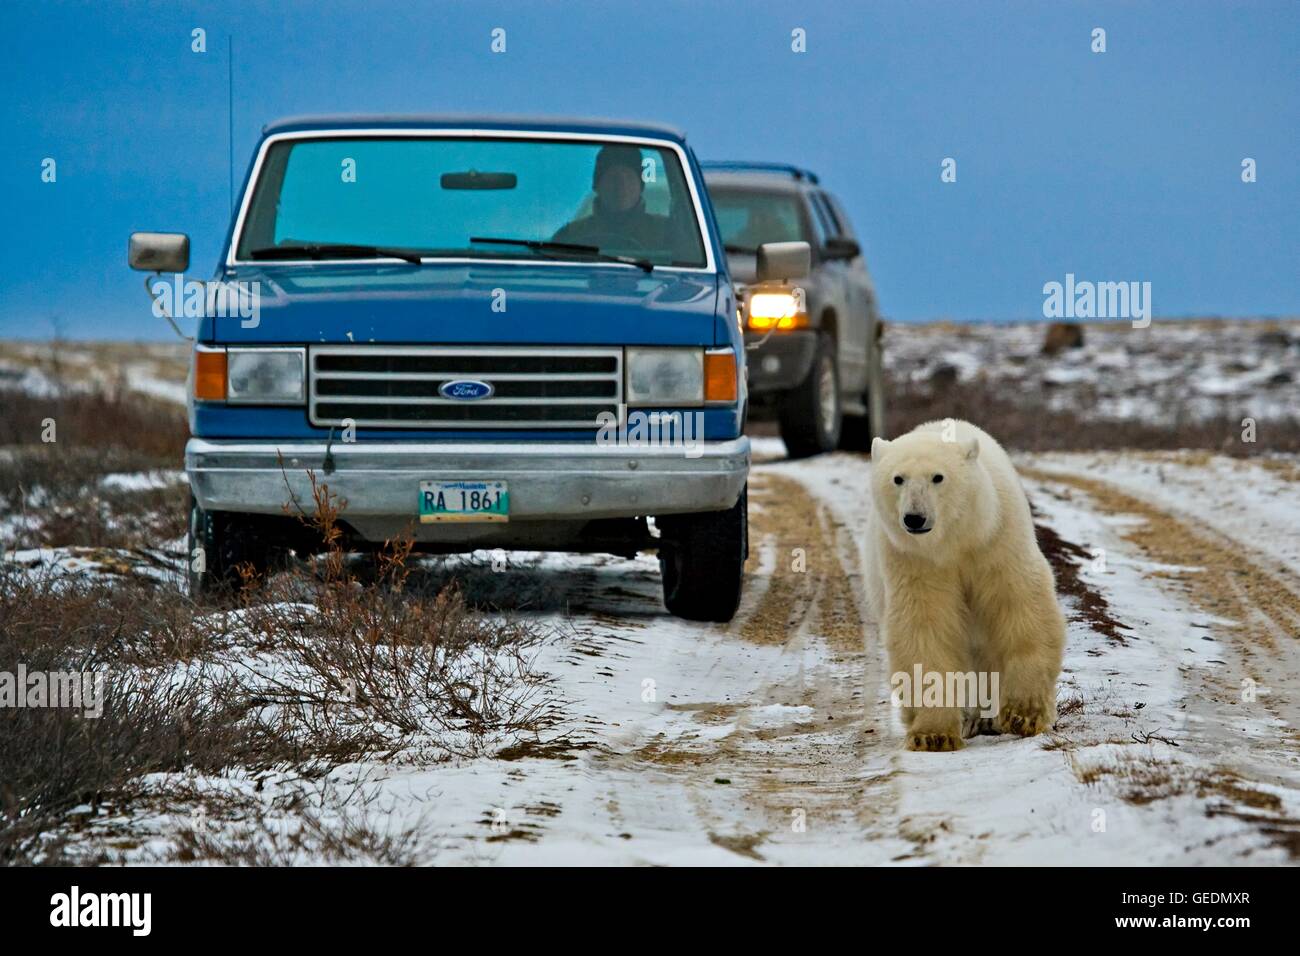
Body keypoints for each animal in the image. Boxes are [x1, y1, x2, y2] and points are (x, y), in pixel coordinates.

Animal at [865, 419, 1065, 752]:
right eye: (898, 478)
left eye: (938, 477)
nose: (915, 518)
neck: (953, 542)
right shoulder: (913, 561)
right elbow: (924, 630)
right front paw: (932, 734)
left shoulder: (996, 540)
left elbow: (1019, 606)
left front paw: (1023, 714)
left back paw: (986, 718)